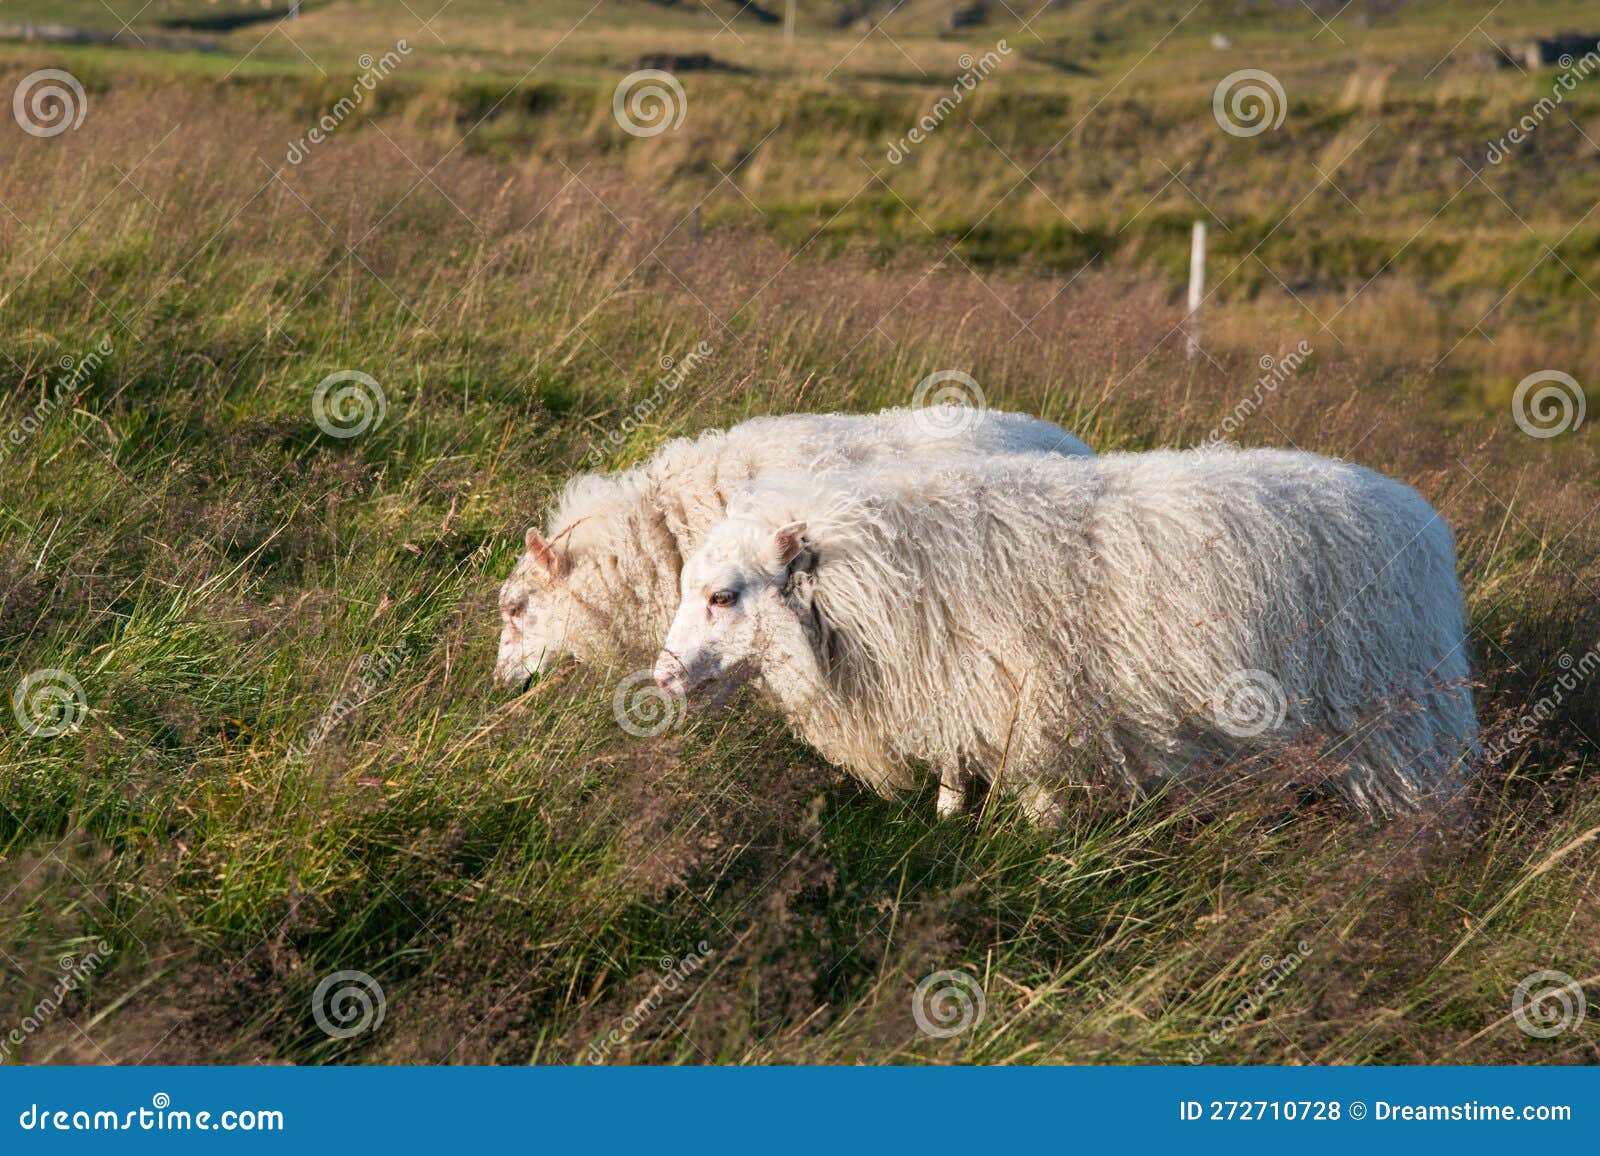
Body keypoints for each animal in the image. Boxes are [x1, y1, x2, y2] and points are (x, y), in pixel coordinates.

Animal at [652, 446, 1480, 822]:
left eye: (723, 596)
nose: (661, 679)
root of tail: (1420, 515)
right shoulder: (961, 693)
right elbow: (954, 769)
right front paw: (949, 818)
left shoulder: (1038, 706)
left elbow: (1039, 799)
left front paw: (1031, 843)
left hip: (1401, 717)